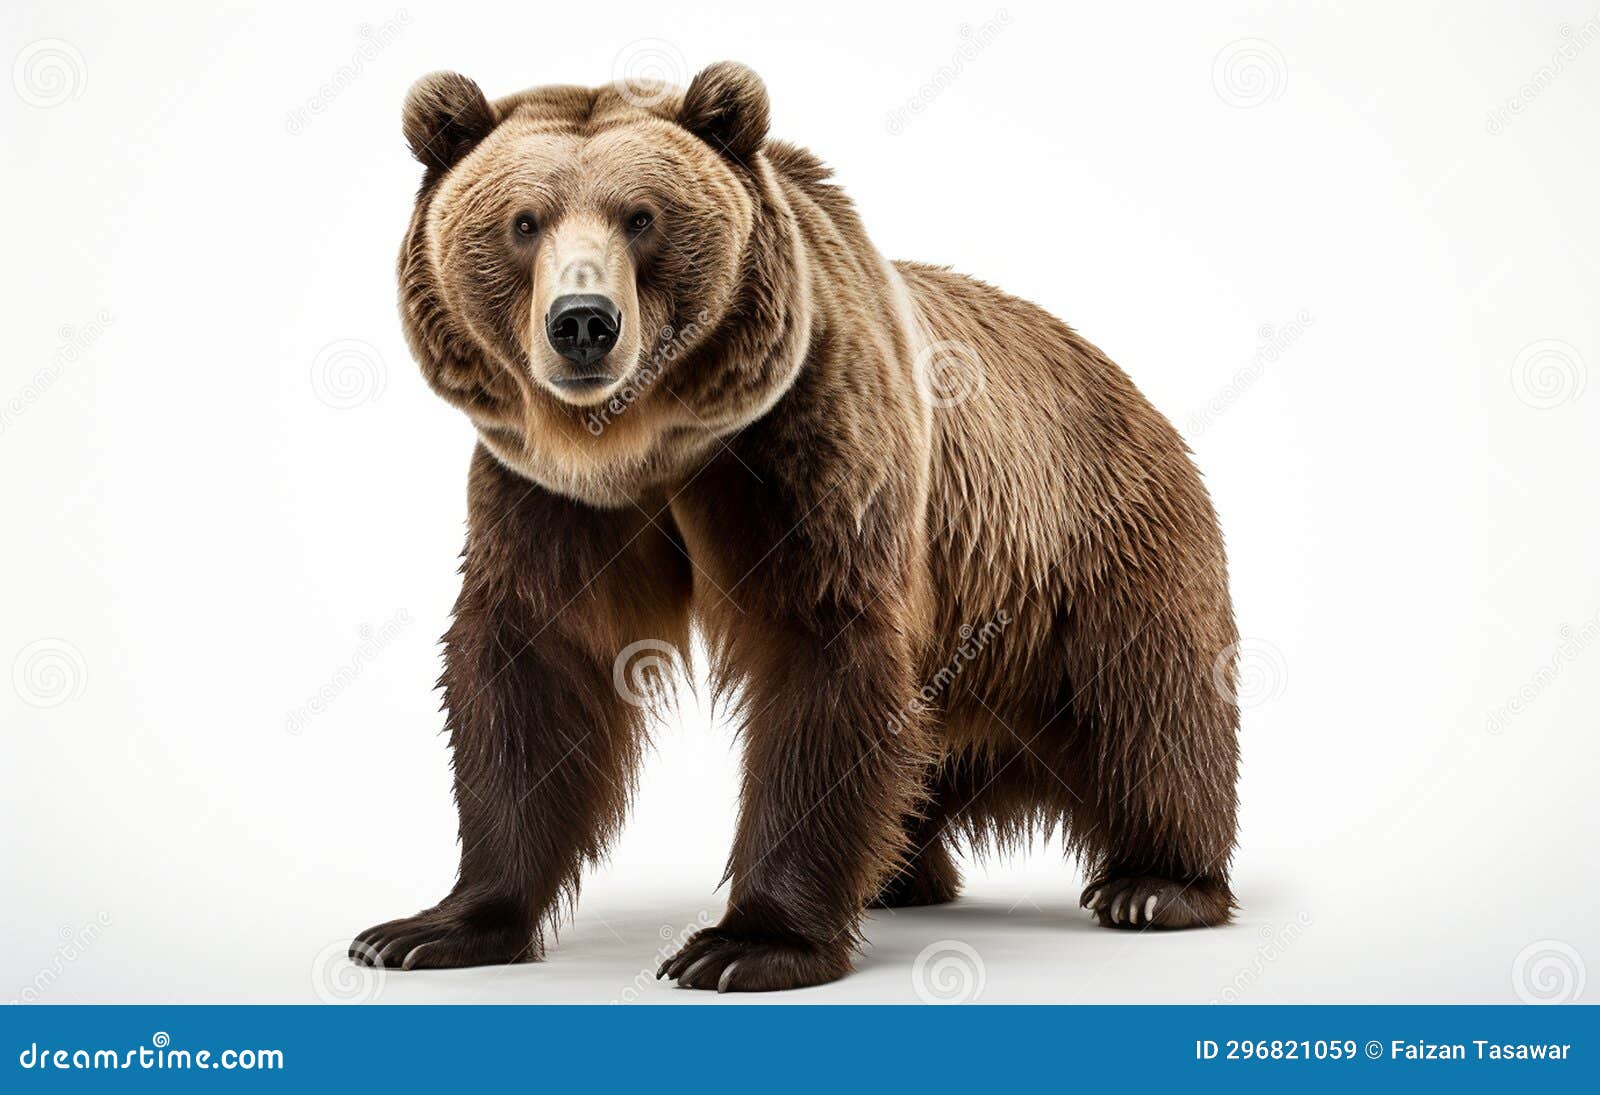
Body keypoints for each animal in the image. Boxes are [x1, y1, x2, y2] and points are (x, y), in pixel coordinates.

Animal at [350, 62, 1240, 991]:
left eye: (643, 217)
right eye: (524, 222)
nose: (584, 322)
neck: (649, 443)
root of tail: (1123, 379)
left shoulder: (804, 445)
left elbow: (819, 652)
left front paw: (744, 942)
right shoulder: (550, 497)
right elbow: (534, 661)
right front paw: (431, 927)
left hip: (1095, 545)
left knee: (1150, 710)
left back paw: (1157, 883)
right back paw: (897, 874)